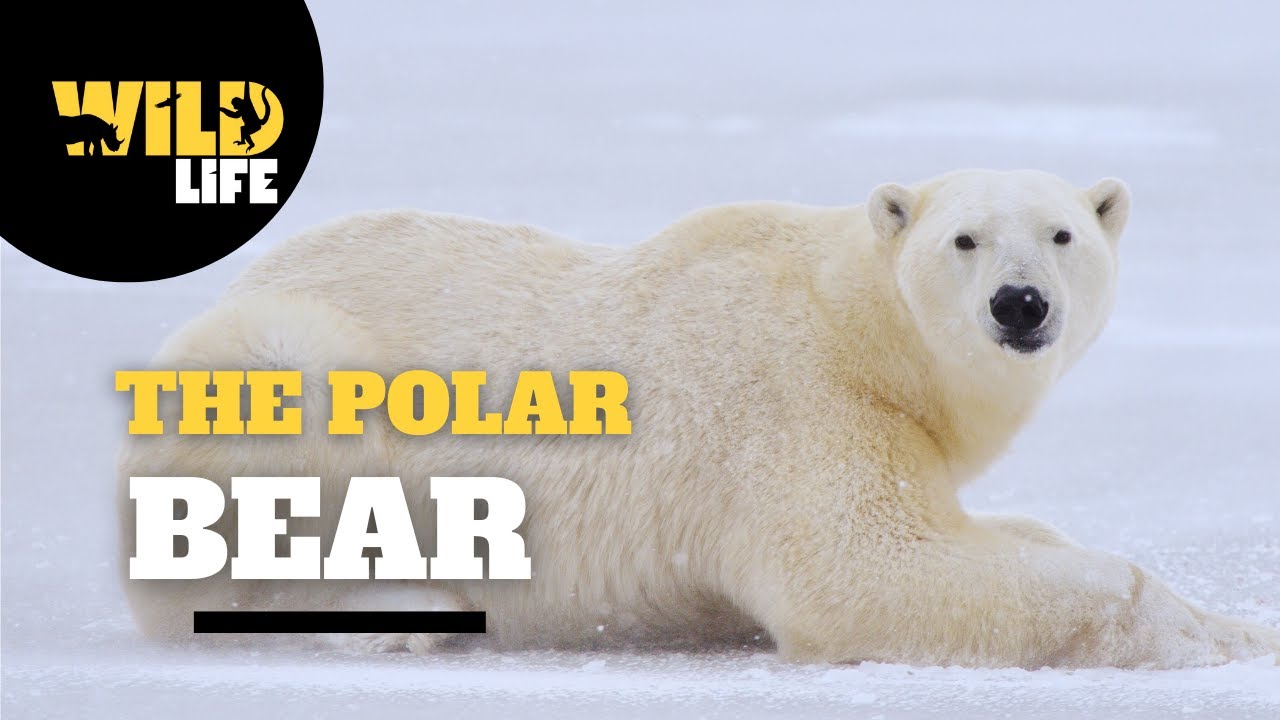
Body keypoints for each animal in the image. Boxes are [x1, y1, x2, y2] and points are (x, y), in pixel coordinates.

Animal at [118, 169, 1280, 668]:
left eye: (1061, 234)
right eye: (963, 239)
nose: (1020, 304)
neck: (855, 323)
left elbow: (1004, 533)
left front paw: (1235, 621)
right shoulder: (791, 403)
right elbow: (861, 573)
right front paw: (1195, 636)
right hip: (268, 360)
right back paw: (402, 607)